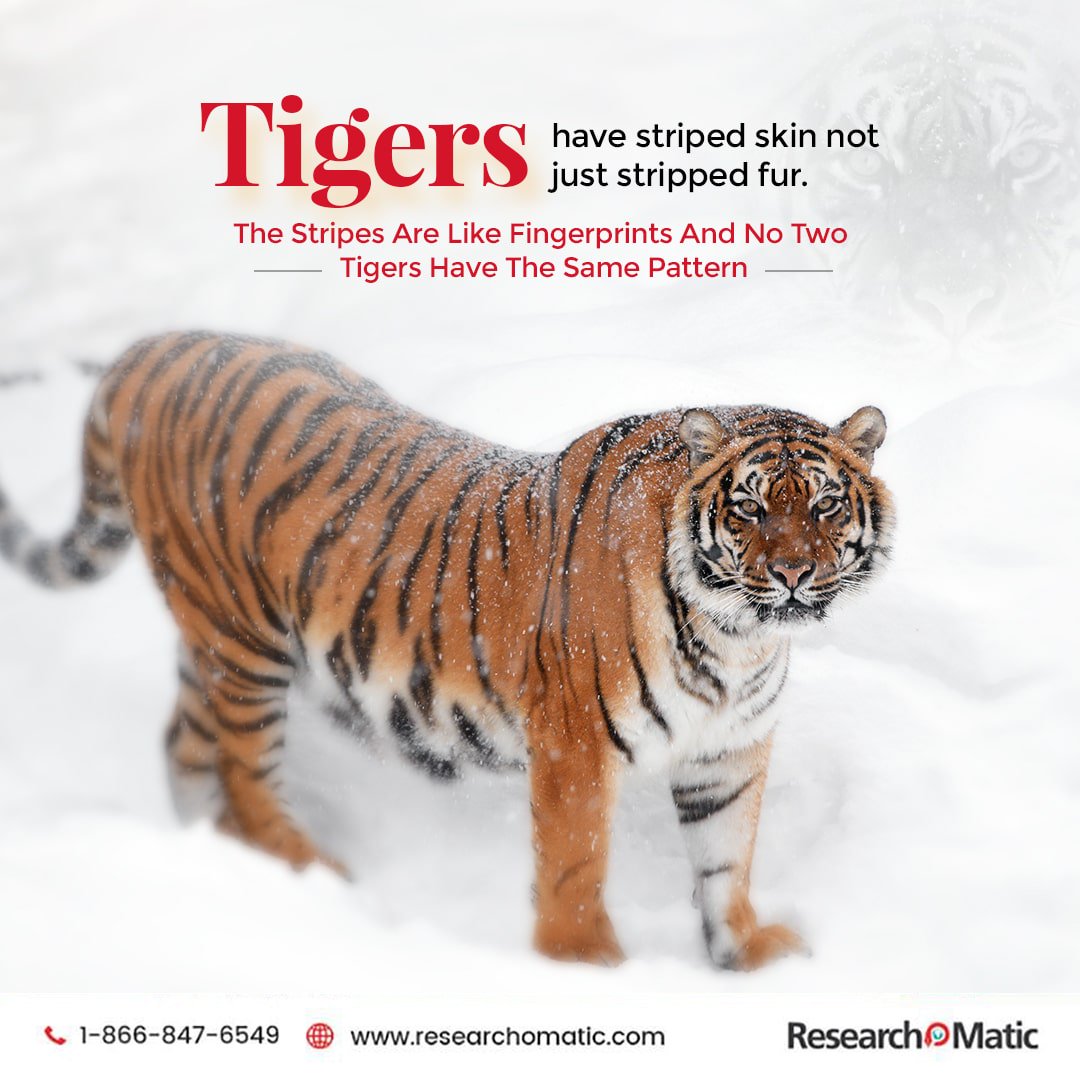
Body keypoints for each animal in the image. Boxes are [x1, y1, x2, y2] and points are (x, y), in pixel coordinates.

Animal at [0, 331, 894, 970]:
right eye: (748, 509)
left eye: (822, 506)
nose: (792, 572)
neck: (741, 638)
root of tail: (156, 348)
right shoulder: (574, 743)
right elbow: (576, 860)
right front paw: (586, 965)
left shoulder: (729, 752)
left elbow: (725, 860)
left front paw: (745, 951)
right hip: (243, 643)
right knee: (244, 772)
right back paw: (306, 872)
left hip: (211, 640)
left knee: (186, 747)